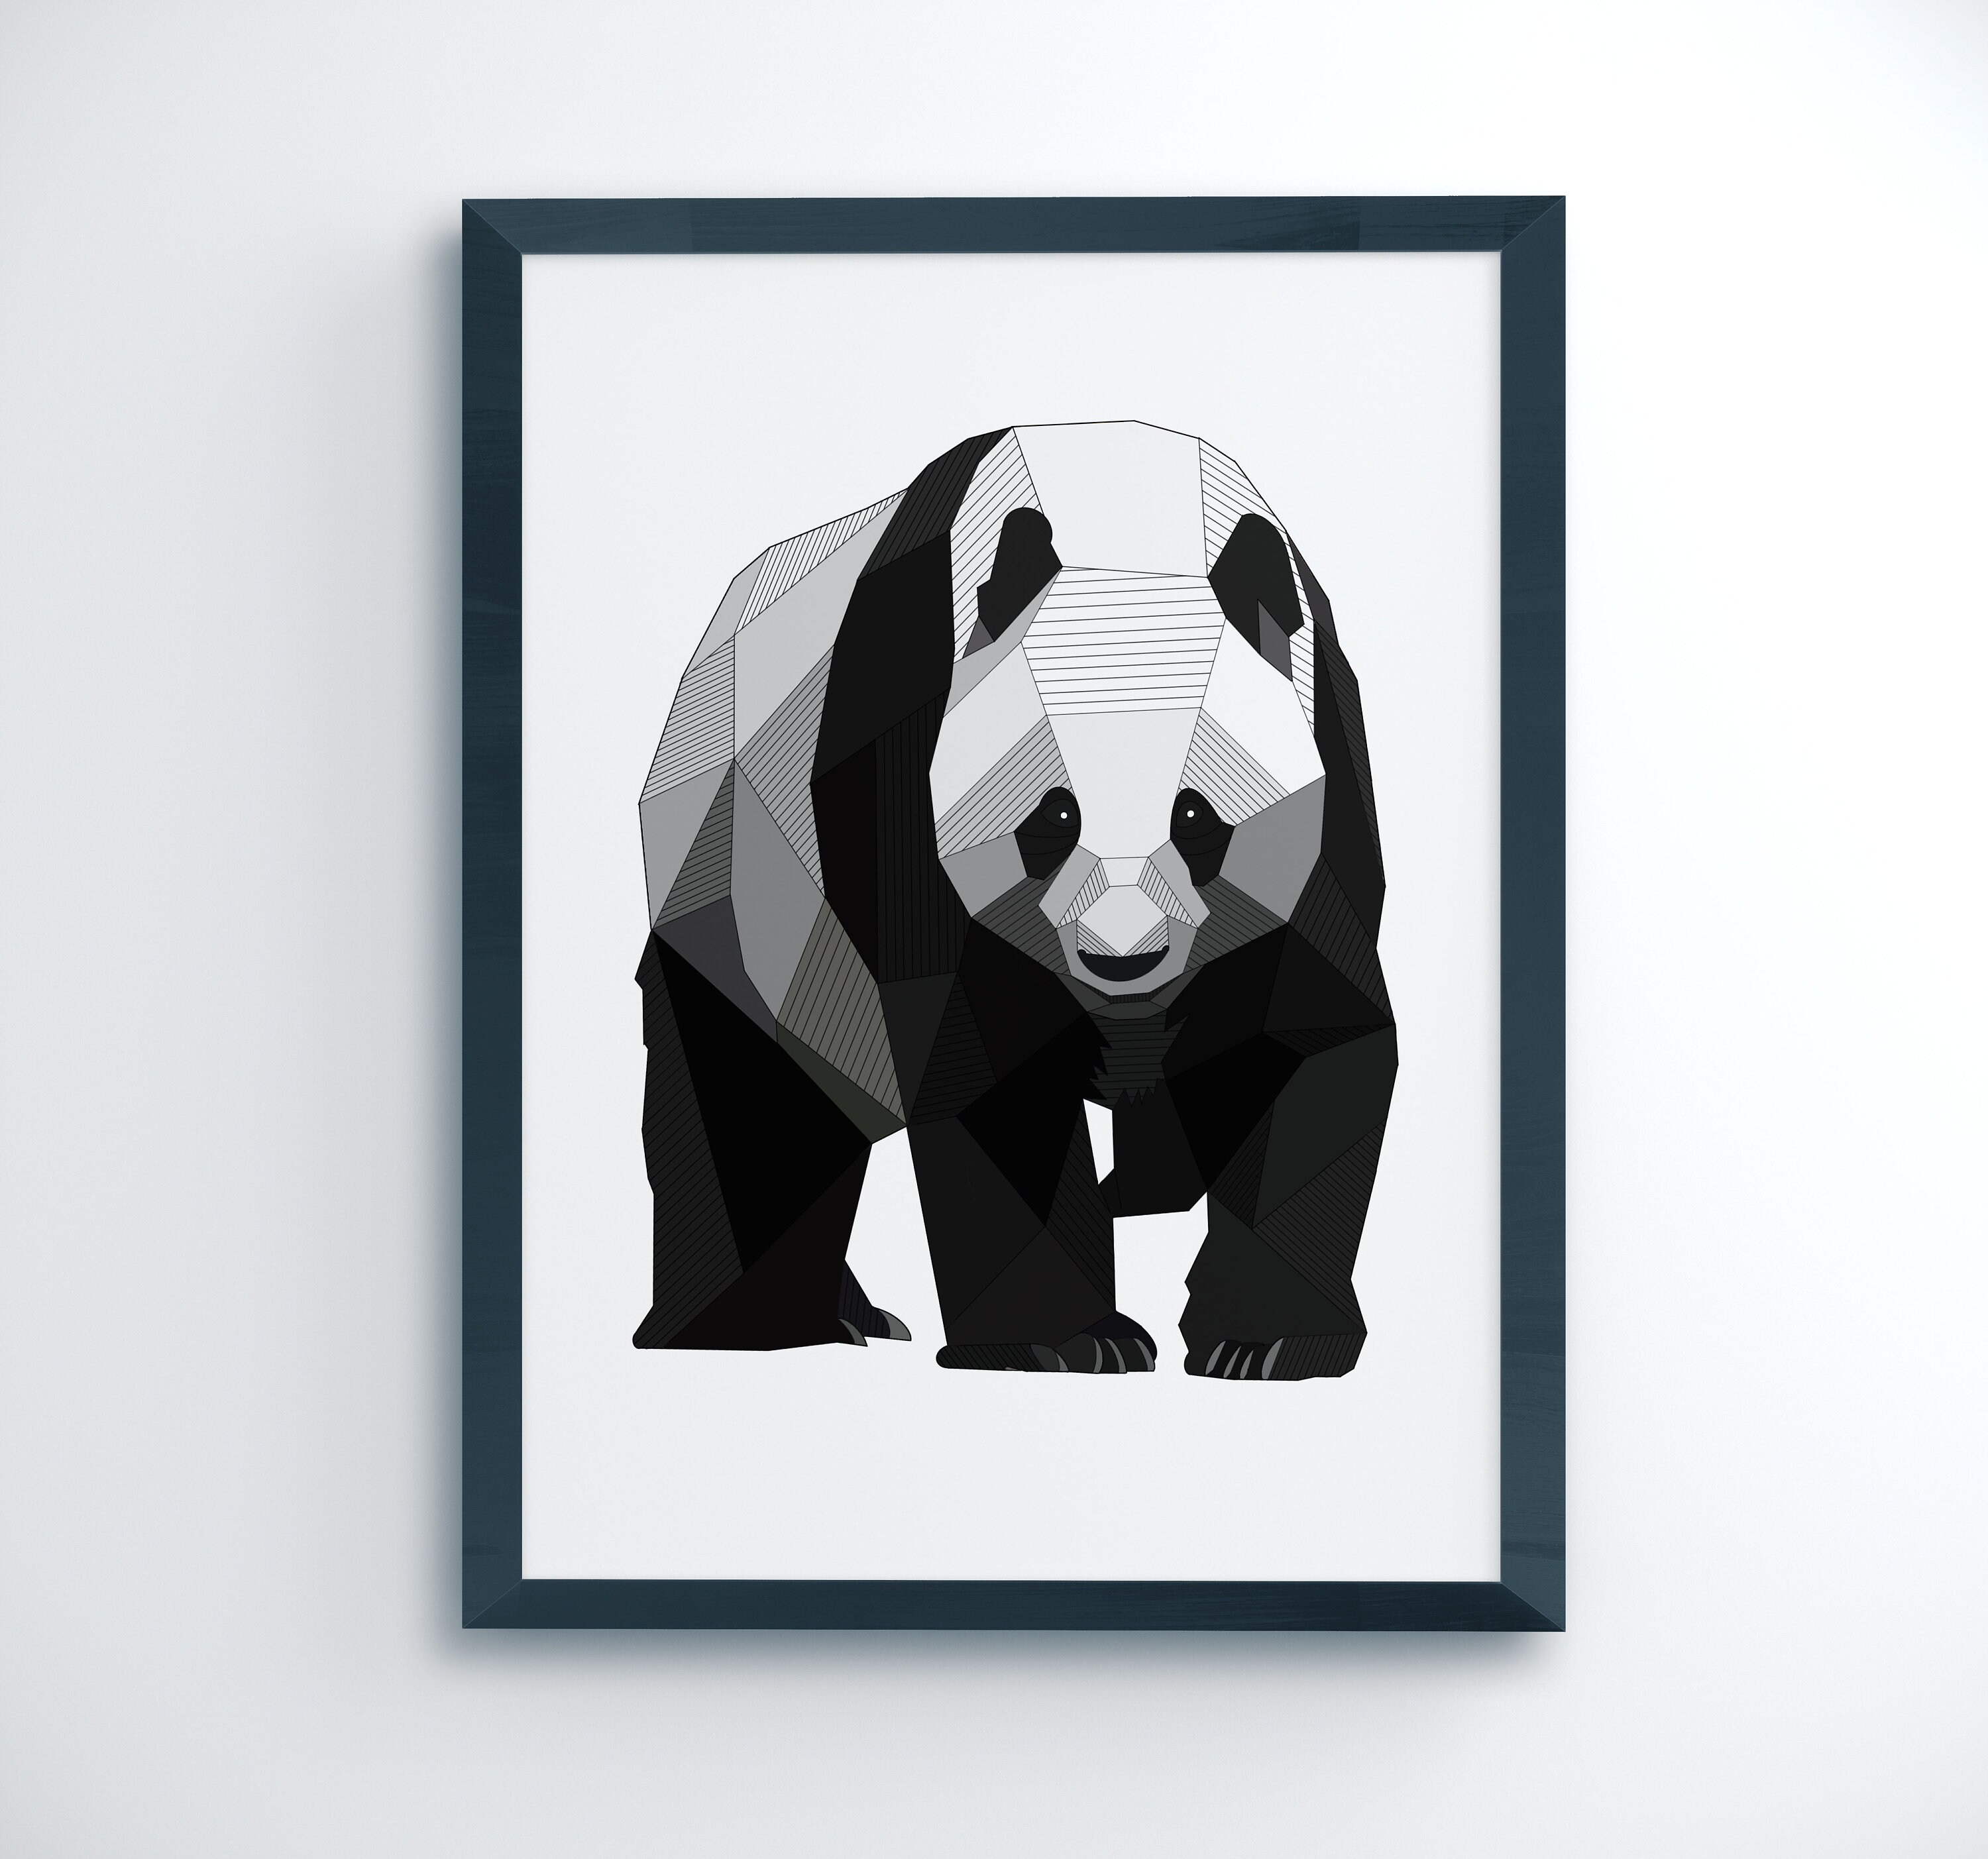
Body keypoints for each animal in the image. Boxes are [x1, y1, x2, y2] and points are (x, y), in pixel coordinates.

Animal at [634, 422, 1395, 1380]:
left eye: (1196, 816)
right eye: (1054, 817)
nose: (1122, 961)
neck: (1128, 520)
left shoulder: (1322, 809)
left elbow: (1310, 1051)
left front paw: (1264, 1338)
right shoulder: (910, 821)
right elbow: (991, 1076)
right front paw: (1073, 1338)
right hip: (739, 899)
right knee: (753, 1101)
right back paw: (759, 1322)